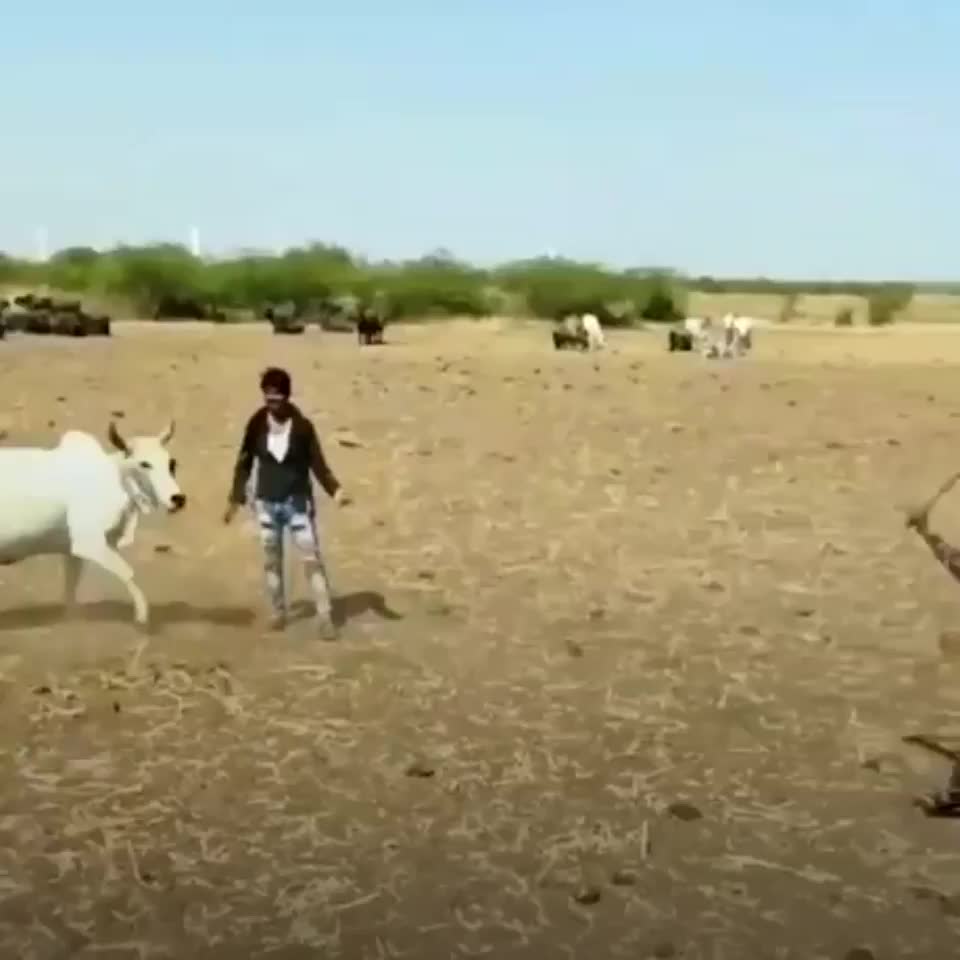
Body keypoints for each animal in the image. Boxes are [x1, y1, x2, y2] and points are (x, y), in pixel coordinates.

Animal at [0, 421, 185, 629]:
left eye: (171, 463)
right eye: (145, 464)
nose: (178, 499)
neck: (115, 479)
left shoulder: (72, 551)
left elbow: (71, 587)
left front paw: (71, 621)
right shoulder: (89, 543)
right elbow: (128, 572)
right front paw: (142, 616)